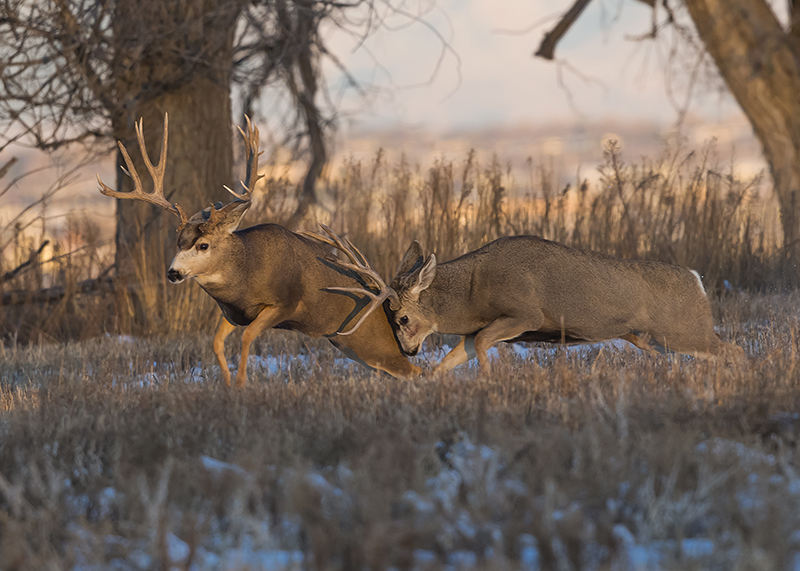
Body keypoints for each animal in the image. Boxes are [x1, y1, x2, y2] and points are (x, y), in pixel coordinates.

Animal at [97, 114, 419, 386]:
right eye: (179, 242)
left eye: (203, 244)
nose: (173, 273)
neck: (245, 275)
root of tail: (387, 307)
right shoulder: (232, 313)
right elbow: (216, 341)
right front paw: (227, 383)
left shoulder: (283, 304)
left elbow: (247, 337)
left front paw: (240, 383)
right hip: (352, 346)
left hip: (372, 340)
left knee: (414, 369)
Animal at [317, 234, 744, 373]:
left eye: (402, 317)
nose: (408, 350)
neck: (474, 292)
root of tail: (697, 280)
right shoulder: (476, 329)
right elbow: (449, 361)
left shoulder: (526, 313)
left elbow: (485, 343)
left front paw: (492, 379)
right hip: (653, 337)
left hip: (684, 331)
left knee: (733, 349)